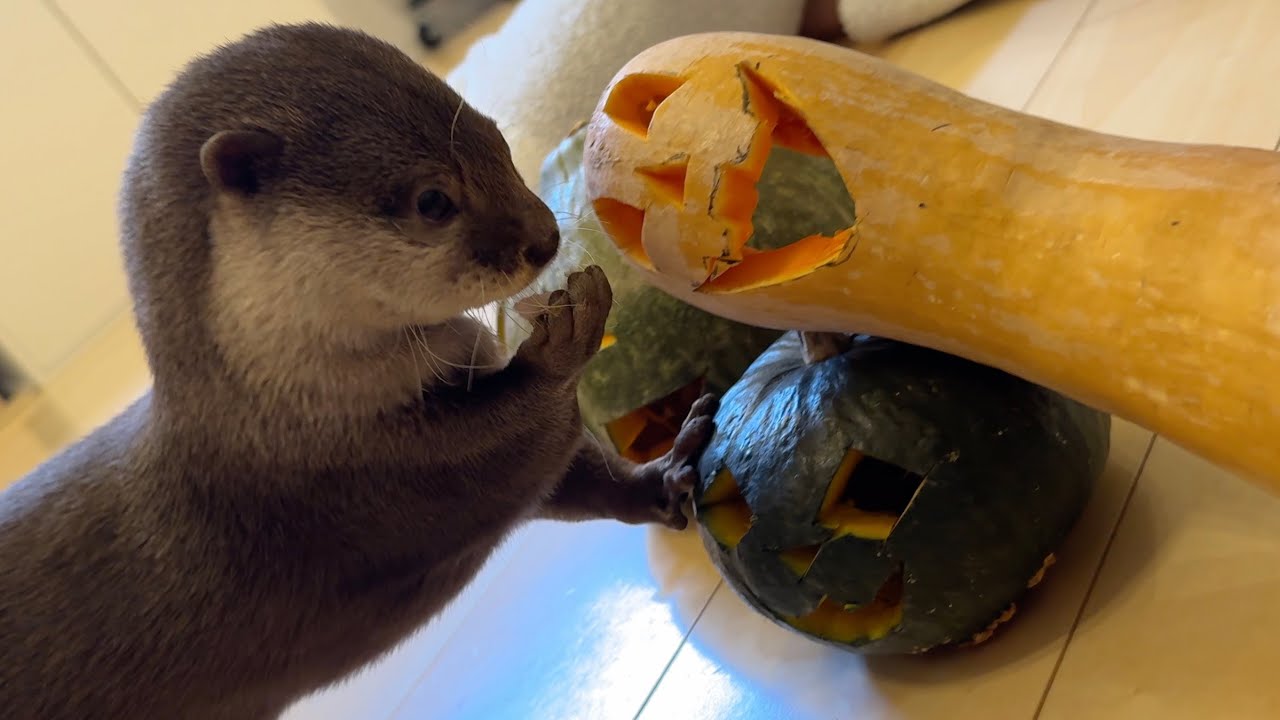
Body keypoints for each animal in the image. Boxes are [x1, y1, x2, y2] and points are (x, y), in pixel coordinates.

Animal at [0, 23, 715, 720]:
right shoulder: (374, 481)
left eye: (497, 139)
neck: (284, 420)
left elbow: (579, 483)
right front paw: (567, 334)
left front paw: (664, 475)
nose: (544, 238)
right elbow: (517, 452)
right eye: (433, 201)